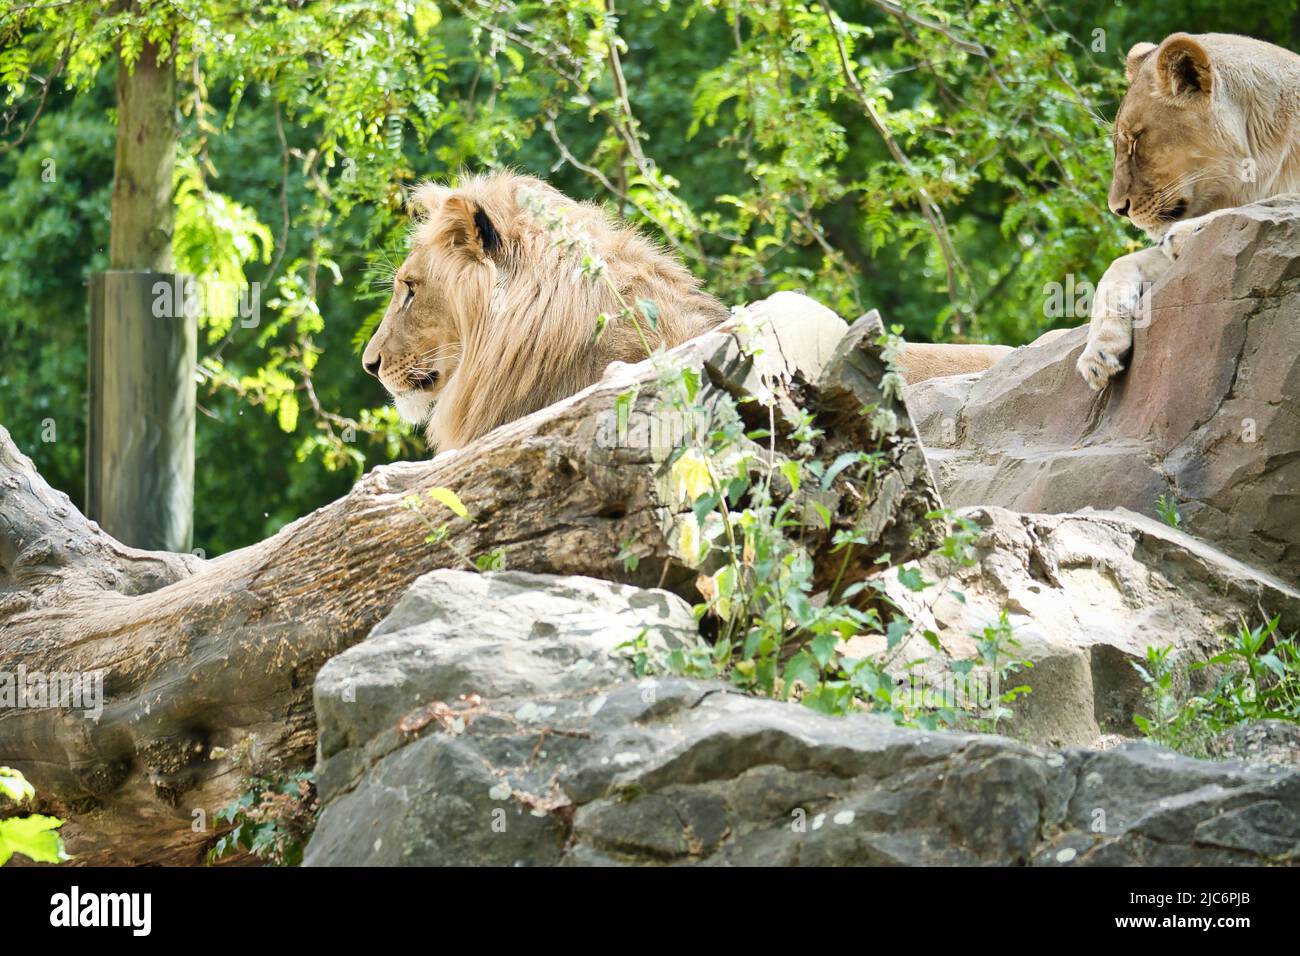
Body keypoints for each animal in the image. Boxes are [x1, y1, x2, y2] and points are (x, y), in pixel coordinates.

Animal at [1077, 32, 1300, 390]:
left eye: (1136, 141)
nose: (1117, 209)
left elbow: (1272, 204)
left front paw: (1187, 232)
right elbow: (1118, 266)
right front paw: (1099, 351)